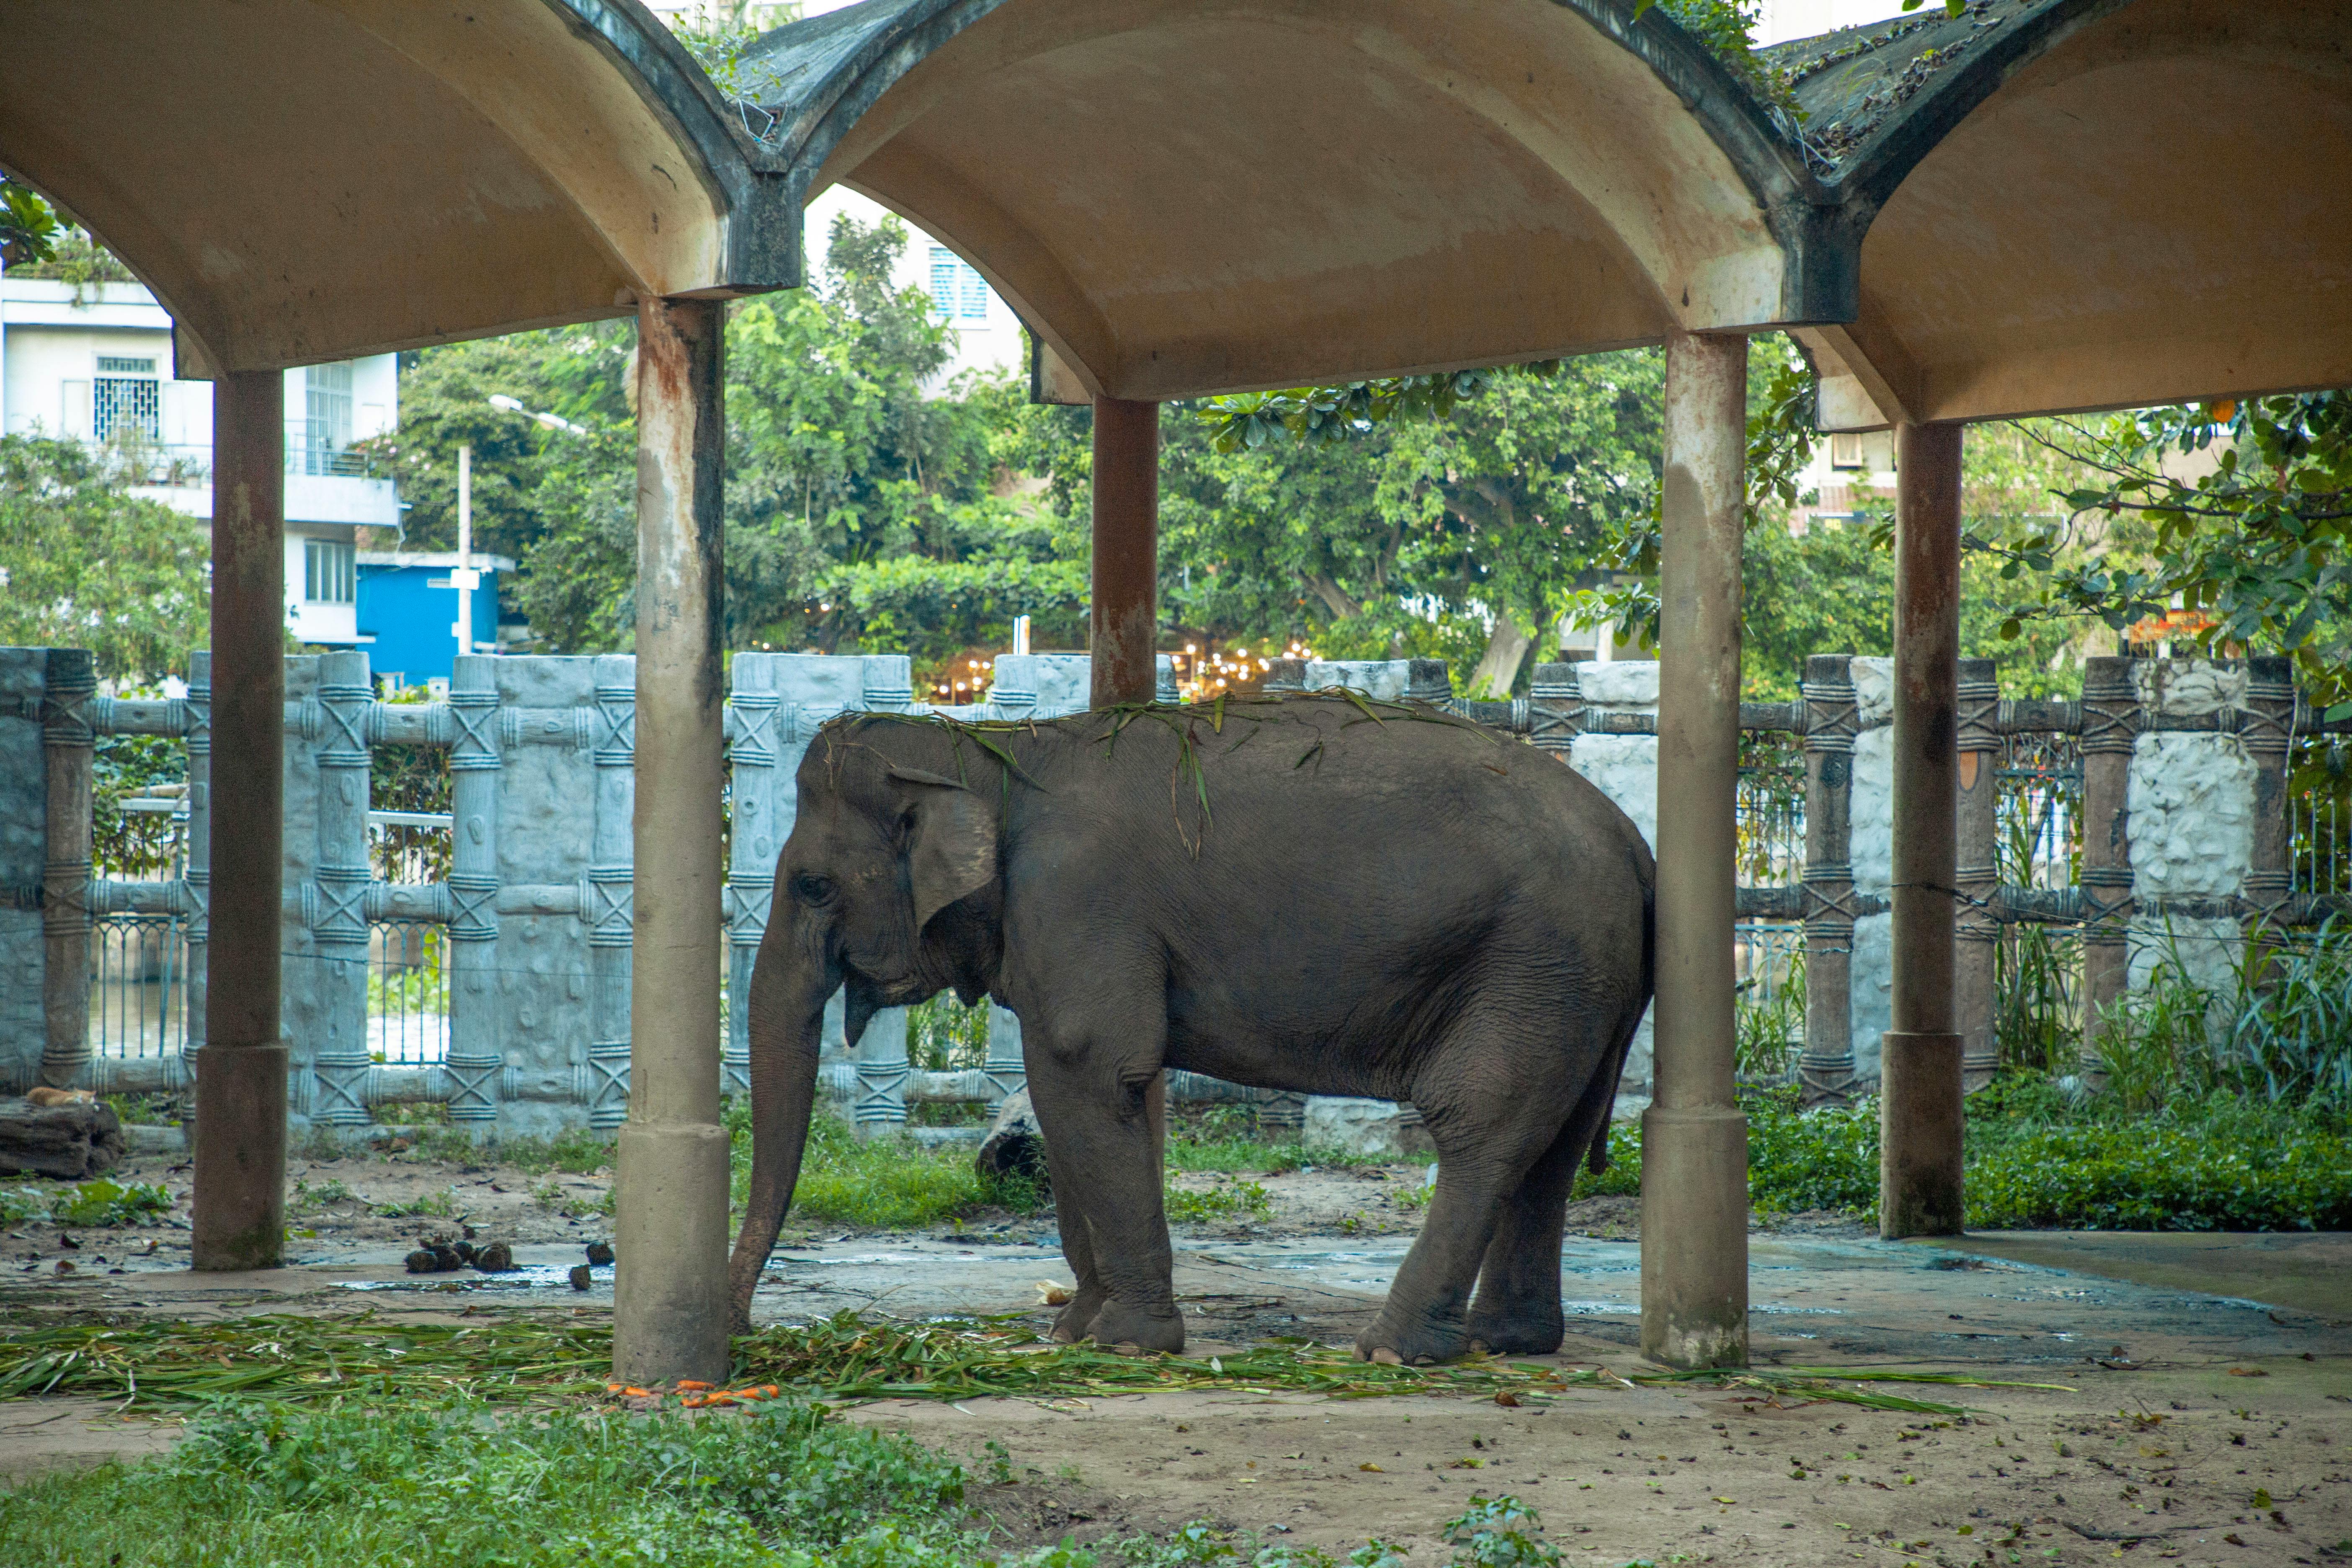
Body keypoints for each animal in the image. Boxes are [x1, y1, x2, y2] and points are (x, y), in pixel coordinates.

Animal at [726, 695, 1654, 1366]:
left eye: (811, 885)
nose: (742, 1331)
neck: (994, 750)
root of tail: (1639, 846)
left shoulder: (1078, 900)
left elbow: (1086, 1069)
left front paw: (1124, 1343)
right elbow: (1069, 1099)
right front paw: (1074, 1331)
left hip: (1535, 960)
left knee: (1481, 1126)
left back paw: (1392, 1351)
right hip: (1582, 986)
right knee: (1555, 1140)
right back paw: (1511, 1342)